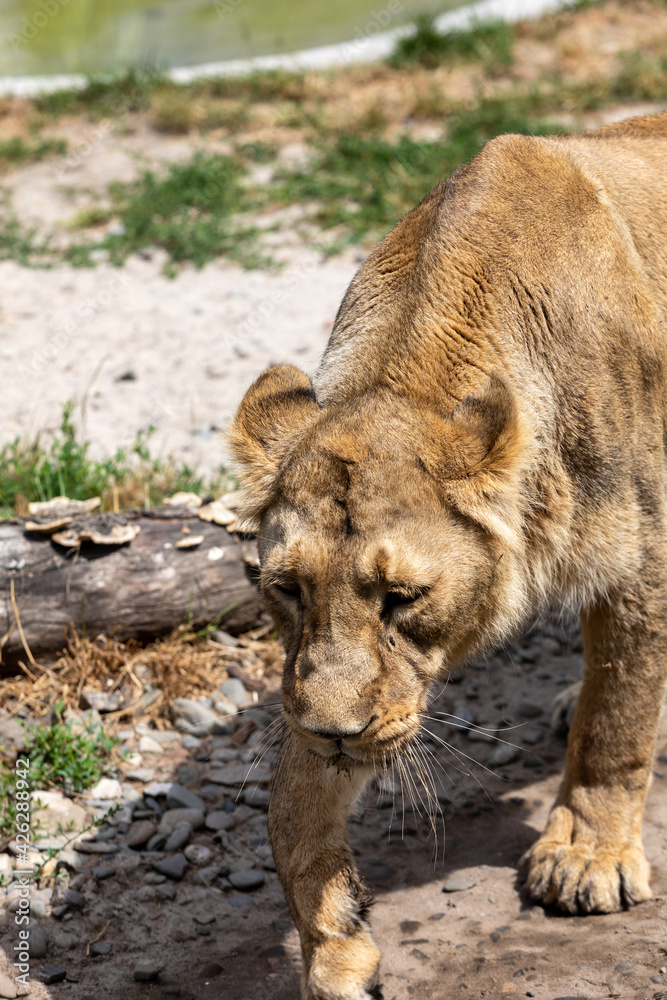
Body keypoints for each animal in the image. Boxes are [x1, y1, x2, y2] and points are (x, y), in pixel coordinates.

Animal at [230, 111, 667, 1000]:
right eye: (288, 590)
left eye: (401, 597)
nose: (334, 733)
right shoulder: (325, 683)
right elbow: (290, 806)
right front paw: (334, 950)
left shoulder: (641, 556)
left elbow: (619, 713)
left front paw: (586, 857)